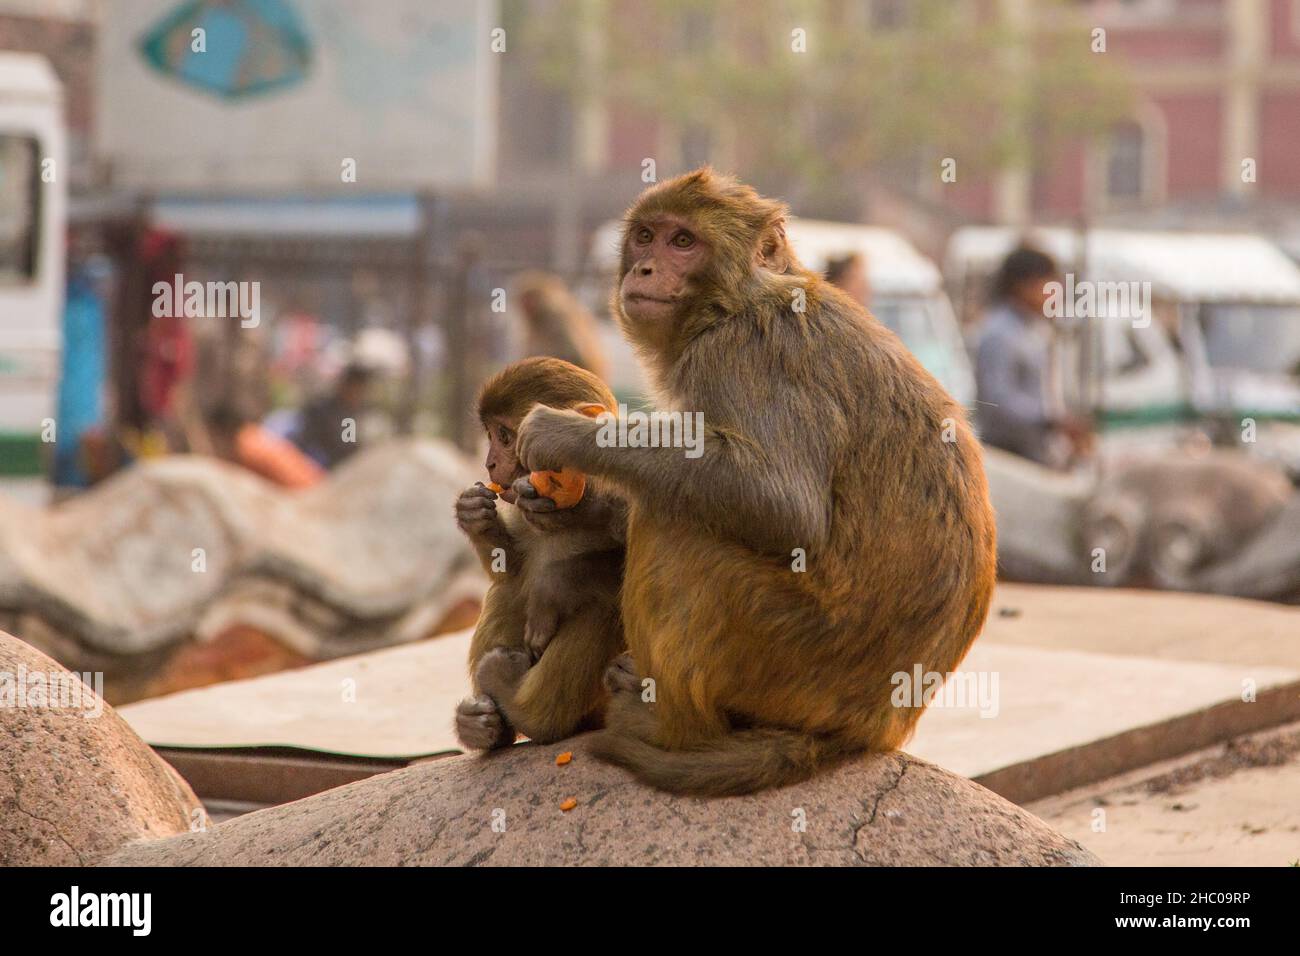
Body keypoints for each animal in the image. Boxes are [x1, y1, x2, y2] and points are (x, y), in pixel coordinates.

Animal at [453, 357, 627, 751]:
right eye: (490, 435)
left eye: (504, 437)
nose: (489, 464)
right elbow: (510, 569)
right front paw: (475, 517)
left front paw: (554, 586)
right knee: (509, 590)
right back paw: (484, 726)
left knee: (601, 606)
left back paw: (528, 713)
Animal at [513, 168, 997, 796]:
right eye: (645, 236)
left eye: (683, 242)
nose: (644, 270)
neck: (731, 302)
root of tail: (872, 730)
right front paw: (576, 510)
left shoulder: (742, 350)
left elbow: (781, 503)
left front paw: (568, 436)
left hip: (795, 653)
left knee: (673, 526)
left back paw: (666, 726)